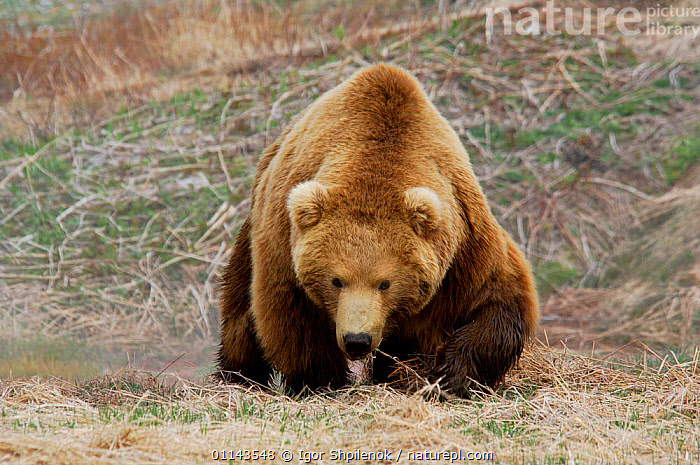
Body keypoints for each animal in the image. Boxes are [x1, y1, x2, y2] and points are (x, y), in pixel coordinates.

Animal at [217, 63, 539, 396]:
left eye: (384, 283)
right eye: (336, 280)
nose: (357, 340)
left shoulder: (463, 245)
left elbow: (498, 299)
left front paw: (450, 375)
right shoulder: (285, 245)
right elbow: (293, 321)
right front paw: (323, 381)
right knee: (240, 310)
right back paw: (237, 373)